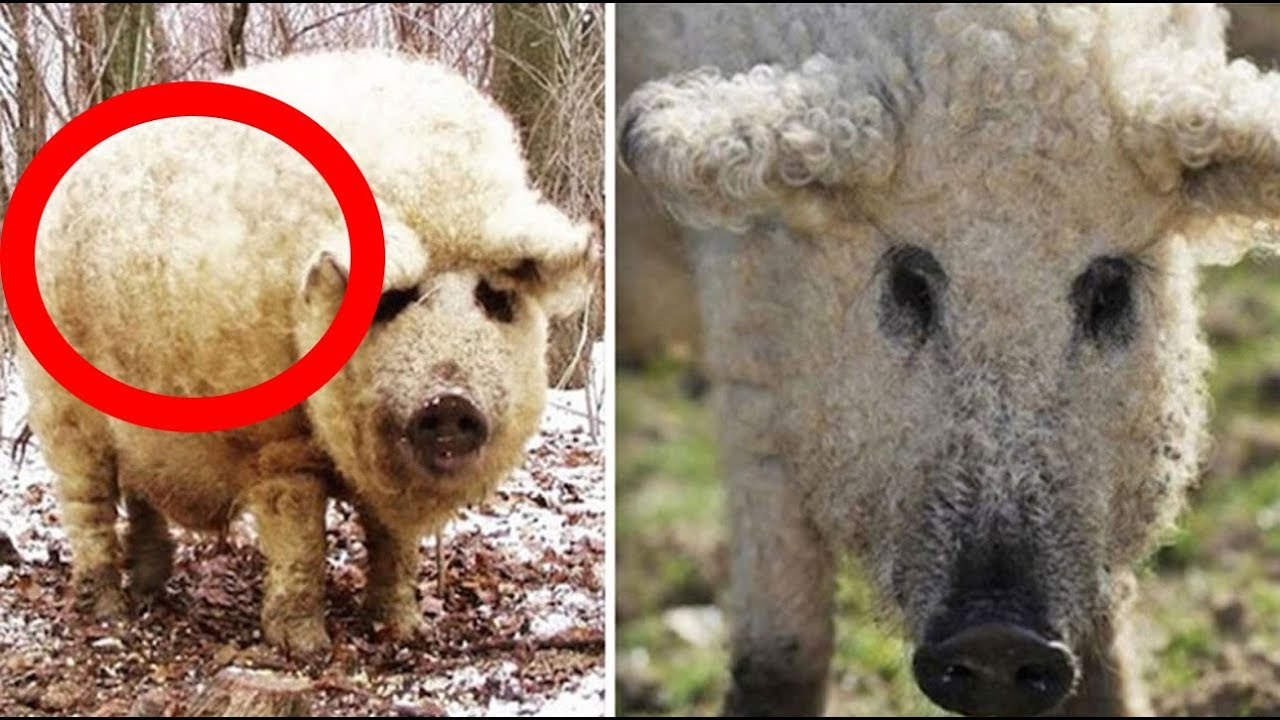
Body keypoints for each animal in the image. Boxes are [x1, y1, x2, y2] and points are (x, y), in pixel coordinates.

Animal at [18, 49, 593, 659]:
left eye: (495, 299)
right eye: (391, 301)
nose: (450, 402)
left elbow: (393, 542)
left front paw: (404, 629)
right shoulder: (277, 443)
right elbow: (301, 536)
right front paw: (305, 647)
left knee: (140, 493)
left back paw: (153, 589)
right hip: (62, 408)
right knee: (87, 500)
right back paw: (107, 610)